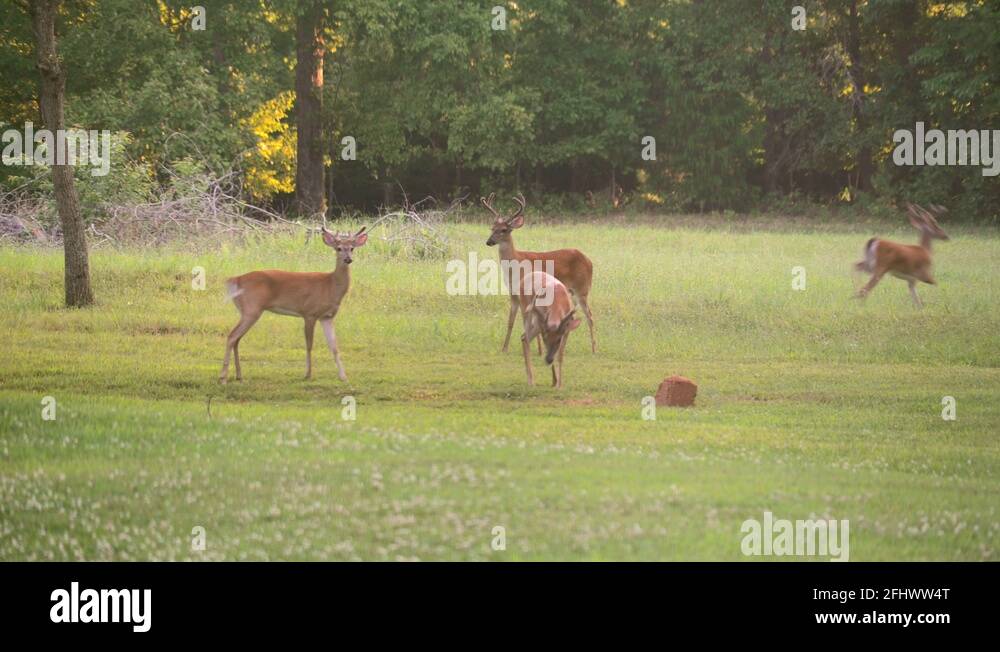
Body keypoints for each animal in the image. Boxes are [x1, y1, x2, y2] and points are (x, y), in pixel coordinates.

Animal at [219, 226, 368, 384]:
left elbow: (334, 346)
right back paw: (223, 377)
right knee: (232, 336)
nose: (348, 259)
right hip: (251, 309)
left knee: (237, 339)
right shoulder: (309, 313)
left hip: (246, 310)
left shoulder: (327, 317)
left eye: (352, 248)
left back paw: (239, 375)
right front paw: (308, 374)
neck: (330, 285)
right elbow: (309, 345)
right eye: (338, 248)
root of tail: (235, 280)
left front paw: (343, 377)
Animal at [482, 192, 596, 354]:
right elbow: (511, 321)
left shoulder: (528, 294)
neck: (516, 263)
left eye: (504, 229)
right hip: (572, 292)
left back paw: (594, 349)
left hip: (583, 289)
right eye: (492, 228)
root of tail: (589, 261)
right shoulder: (513, 294)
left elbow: (527, 321)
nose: (489, 241)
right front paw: (504, 348)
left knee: (590, 317)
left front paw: (537, 349)